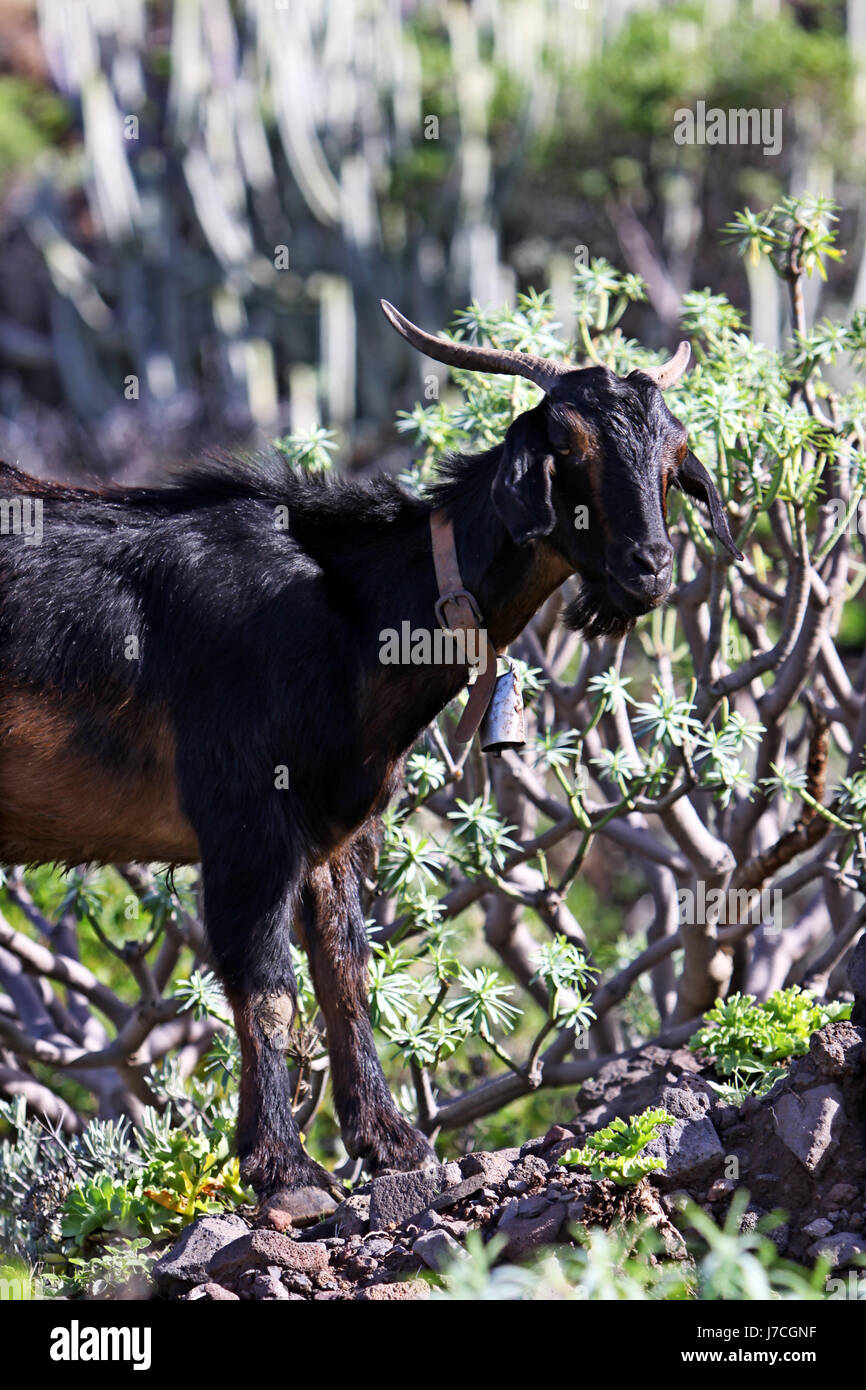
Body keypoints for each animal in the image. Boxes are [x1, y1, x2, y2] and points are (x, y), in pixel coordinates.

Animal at [0, 303, 740, 1210]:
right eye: (567, 446)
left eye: (675, 454)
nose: (650, 570)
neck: (347, 609)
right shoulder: (244, 823)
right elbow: (268, 989)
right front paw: (284, 1168)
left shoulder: (337, 833)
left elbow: (346, 973)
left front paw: (390, 1143)